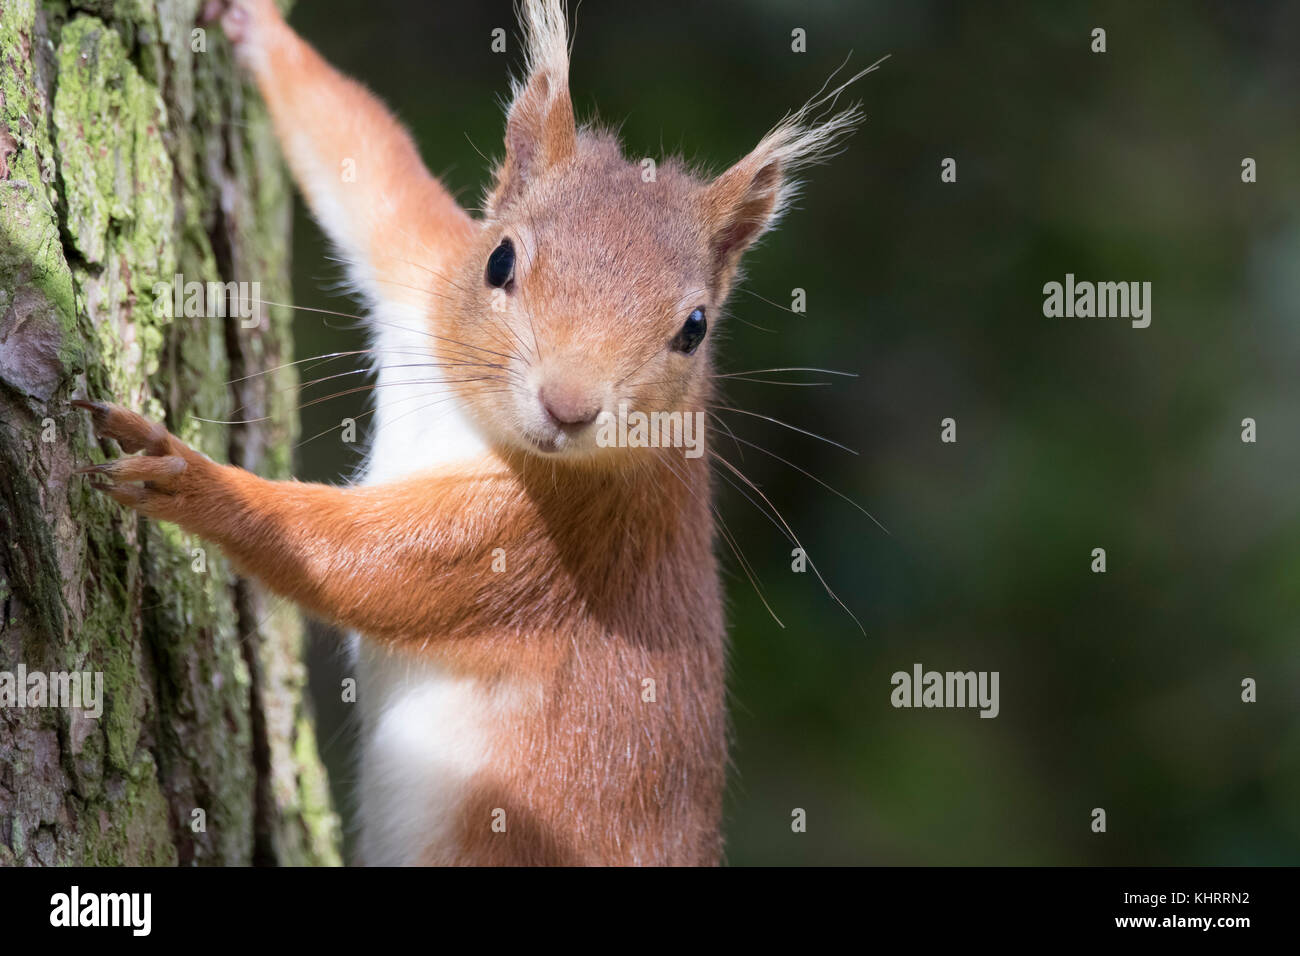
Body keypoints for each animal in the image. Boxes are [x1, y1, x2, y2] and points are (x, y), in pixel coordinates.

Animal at [75, 0, 873, 865]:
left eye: (694, 328)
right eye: (499, 261)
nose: (568, 406)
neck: (470, 418)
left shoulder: (551, 543)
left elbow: (360, 564)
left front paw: (188, 478)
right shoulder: (425, 271)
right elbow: (367, 160)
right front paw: (257, 31)